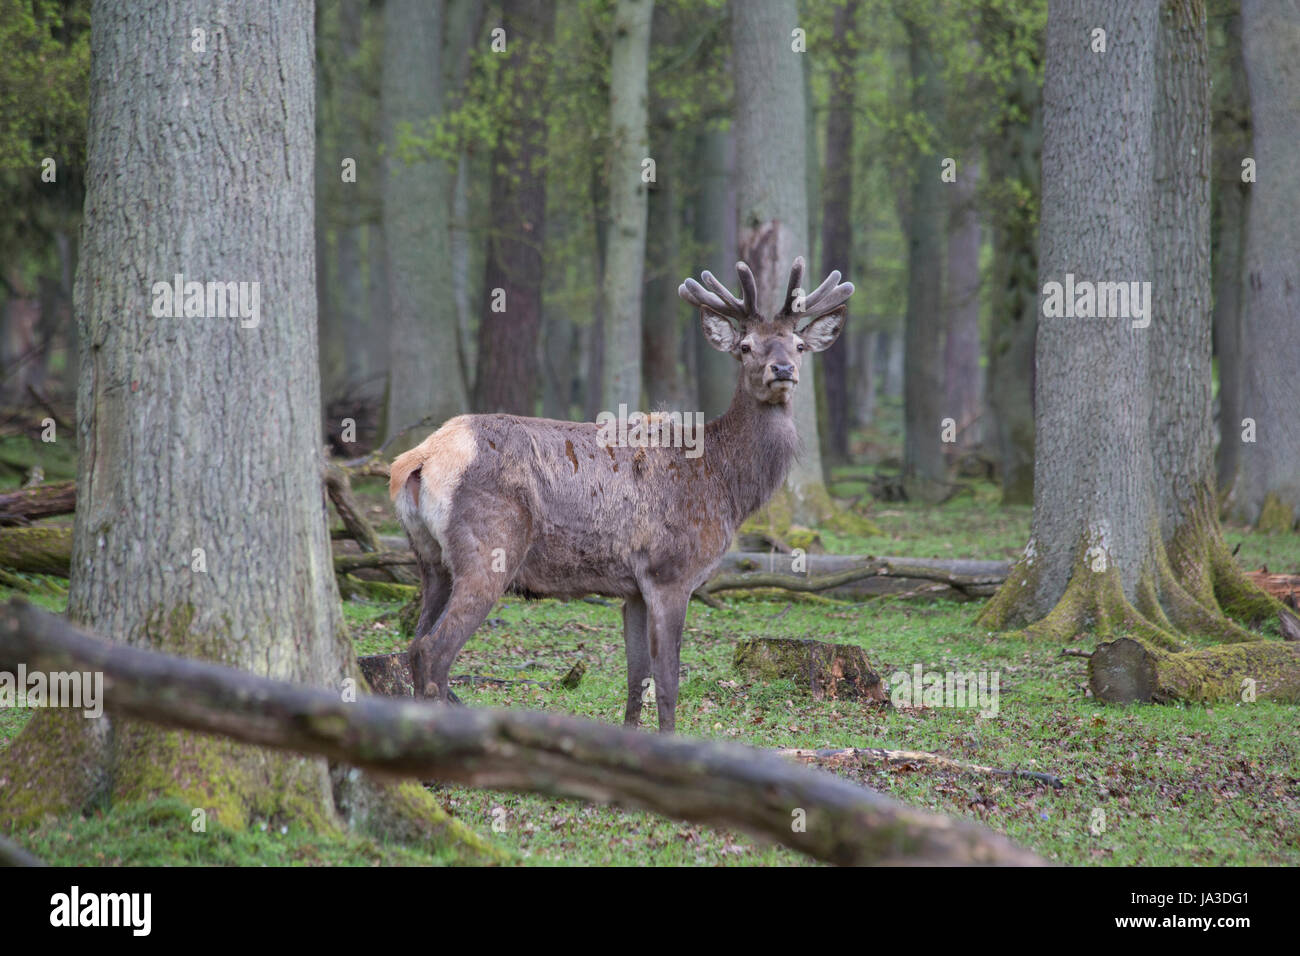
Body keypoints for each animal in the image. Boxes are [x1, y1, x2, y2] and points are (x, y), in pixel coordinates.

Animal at [389, 257, 852, 732]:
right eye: (745, 346)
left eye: (799, 345)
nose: (782, 370)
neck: (725, 486)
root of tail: (418, 459)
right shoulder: (671, 571)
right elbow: (667, 681)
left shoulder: (633, 587)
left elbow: (636, 679)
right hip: (490, 550)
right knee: (435, 651)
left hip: (430, 561)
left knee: (414, 645)